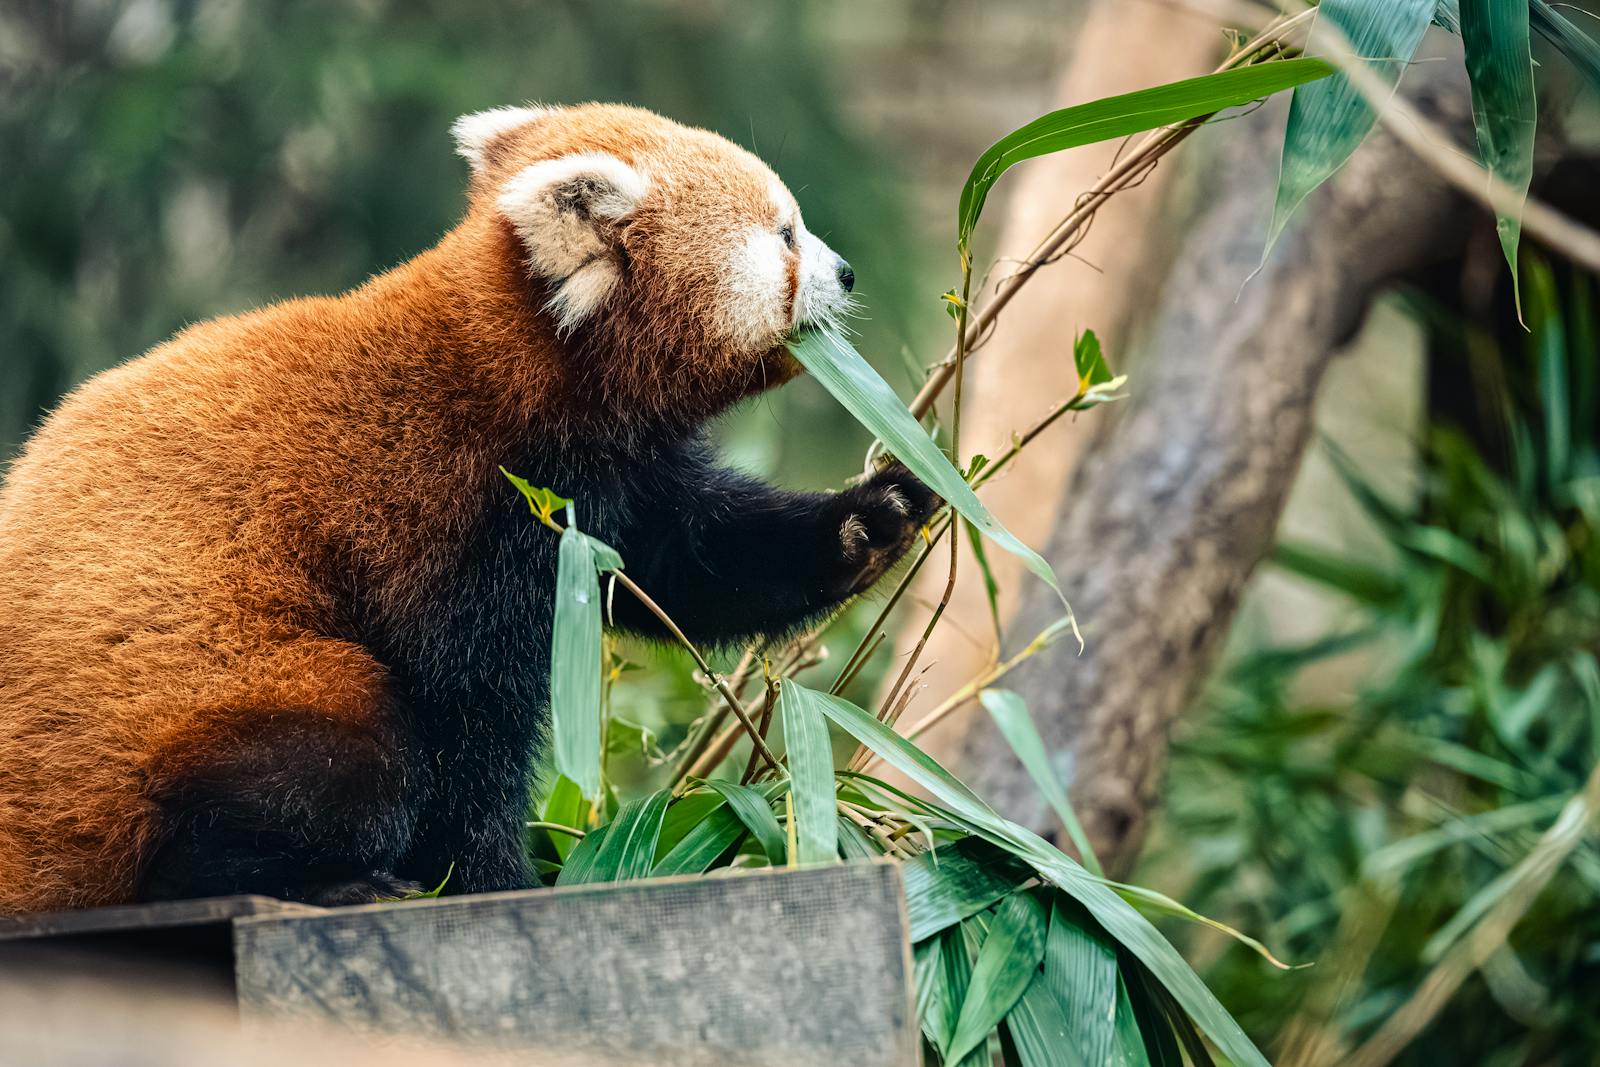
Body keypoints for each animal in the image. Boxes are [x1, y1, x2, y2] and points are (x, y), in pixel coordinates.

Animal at [0, 103, 936, 911]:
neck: (526, 372)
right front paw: (497, 879)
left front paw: (876, 516)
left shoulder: (609, 488)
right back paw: (323, 880)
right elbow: (466, 725)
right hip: (202, 706)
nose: (846, 272)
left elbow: (699, 564)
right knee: (355, 754)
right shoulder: (450, 507)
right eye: (785, 235)